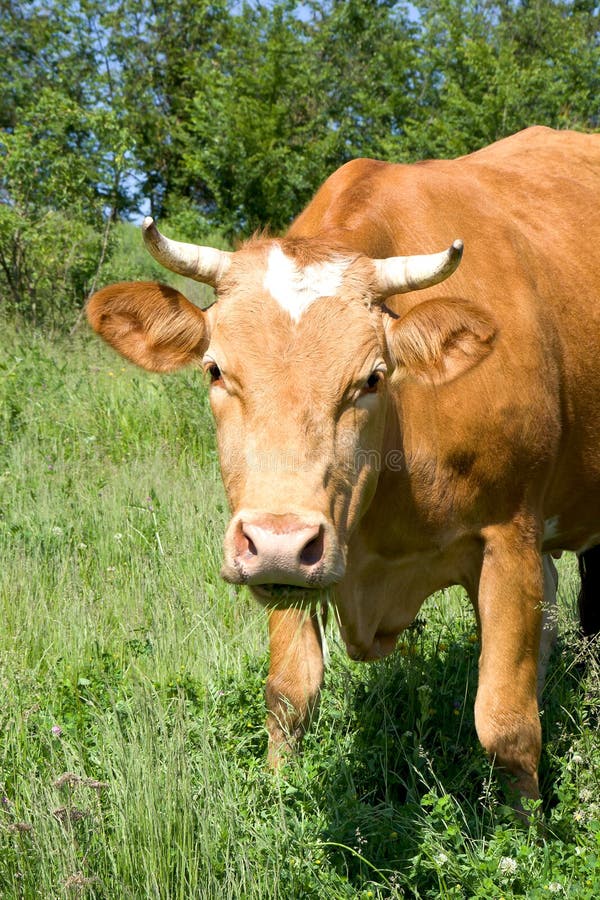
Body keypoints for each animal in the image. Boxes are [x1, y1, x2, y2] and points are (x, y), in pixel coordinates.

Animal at [87, 126, 600, 809]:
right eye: (215, 369)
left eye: (372, 378)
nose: (280, 542)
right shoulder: (289, 552)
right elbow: (288, 694)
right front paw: (278, 806)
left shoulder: (509, 536)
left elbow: (508, 725)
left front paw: (528, 826)